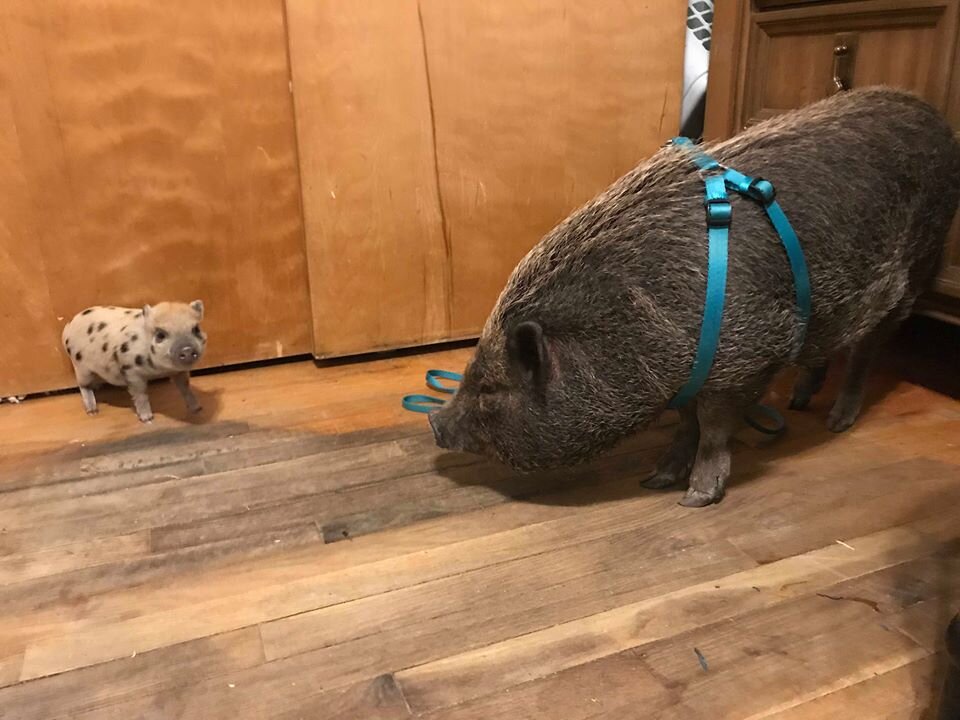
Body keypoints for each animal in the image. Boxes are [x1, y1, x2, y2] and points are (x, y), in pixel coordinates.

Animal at [62, 301, 207, 423]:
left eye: (196, 329)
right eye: (160, 335)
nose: (187, 349)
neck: (159, 371)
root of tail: (68, 328)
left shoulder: (179, 371)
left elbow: (185, 387)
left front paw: (197, 408)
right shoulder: (130, 369)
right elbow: (140, 394)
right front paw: (147, 419)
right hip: (81, 368)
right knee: (83, 386)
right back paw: (93, 412)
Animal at [429, 87, 960, 507]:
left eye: (492, 389)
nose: (434, 422)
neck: (636, 322)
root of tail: (937, 120)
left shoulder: (746, 359)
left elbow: (713, 426)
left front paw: (696, 498)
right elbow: (687, 422)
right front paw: (656, 480)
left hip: (918, 263)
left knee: (869, 349)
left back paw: (837, 422)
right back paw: (799, 403)